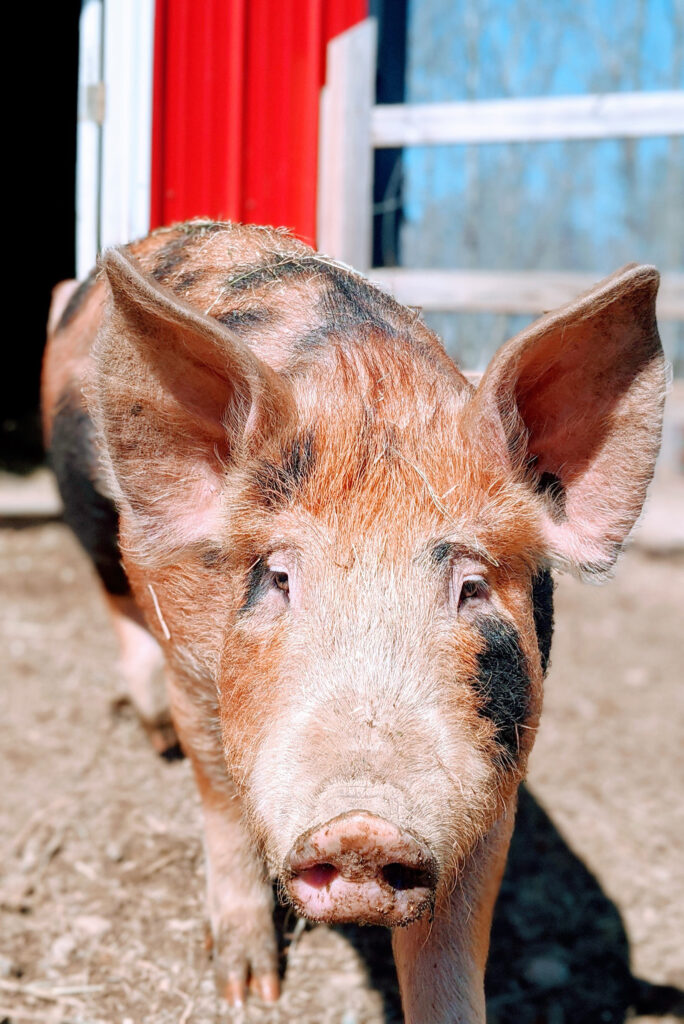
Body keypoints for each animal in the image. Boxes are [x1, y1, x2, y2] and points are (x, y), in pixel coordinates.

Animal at [41, 219, 665, 1022]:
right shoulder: (194, 671)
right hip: (91, 519)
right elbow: (221, 805)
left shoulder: (500, 759)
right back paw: (153, 739)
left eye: (471, 588)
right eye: (278, 579)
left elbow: (449, 954)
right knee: (116, 601)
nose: (362, 827)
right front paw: (249, 991)